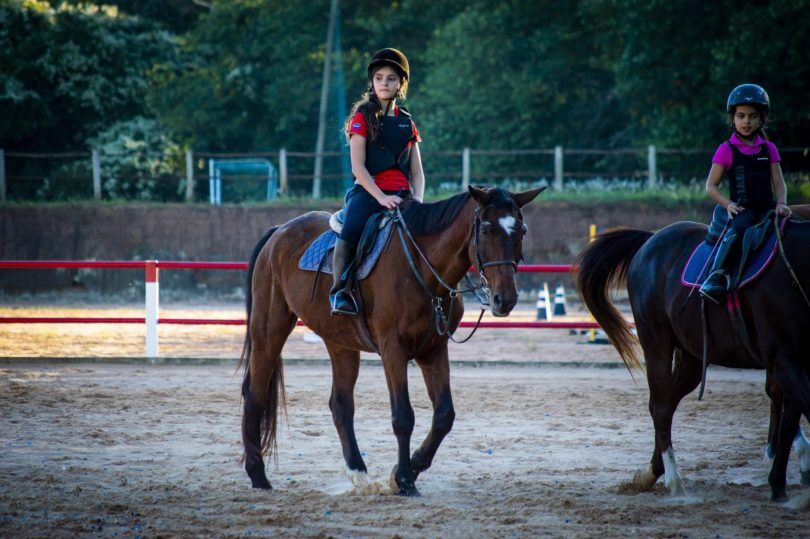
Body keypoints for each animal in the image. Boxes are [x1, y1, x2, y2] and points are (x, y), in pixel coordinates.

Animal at [238, 185, 545, 495]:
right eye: (485, 229)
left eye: (521, 230)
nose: (505, 299)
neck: (420, 266)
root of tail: (278, 232)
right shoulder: (393, 350)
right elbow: (403, 417)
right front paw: (405, 480)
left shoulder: (434, 350)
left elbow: (444, 415)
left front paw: (408, 468)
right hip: (269, 331)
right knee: (254, 394)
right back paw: (258, 475)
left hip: (341, 343)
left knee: (341, 405)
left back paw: (358, 472)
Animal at [575, 204, 810, 501]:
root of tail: (651, 240)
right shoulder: (782, 359)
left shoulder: (794, 362)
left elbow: (790, 417)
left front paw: (779, 482)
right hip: (657, 344)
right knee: (661, 407)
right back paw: (673, 481)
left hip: (692, 356)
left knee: (664, 403)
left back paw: (652, 473)